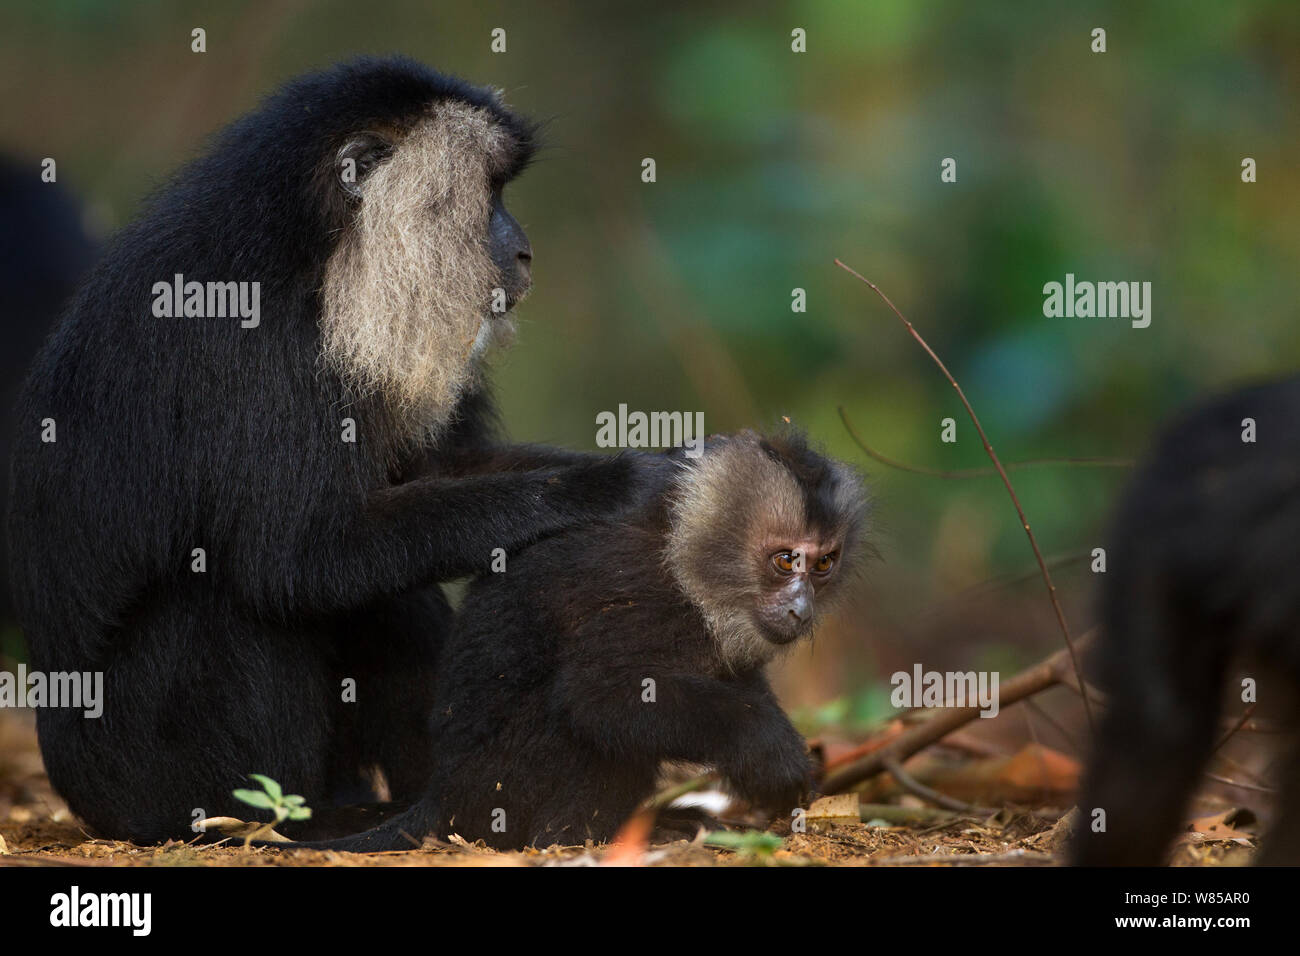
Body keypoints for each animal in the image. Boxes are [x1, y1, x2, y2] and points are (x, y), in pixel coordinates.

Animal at [6, 57, 661, 845]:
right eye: (490, 196)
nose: (524, 250)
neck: (317, 259)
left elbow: (422, 478)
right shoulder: (247, 346)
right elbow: (296, 558)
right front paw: (604, 490)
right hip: (128, 774)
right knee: (228, 600)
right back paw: (266, 820)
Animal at [288, 429, 869, 852]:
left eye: (823, 564)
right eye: (784, 561)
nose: (801, 609)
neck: (680, 556)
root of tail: (446, 795)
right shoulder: (637, 589)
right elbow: (599, 697)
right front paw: (766, 749)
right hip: (505, 788)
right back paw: (581, 837)